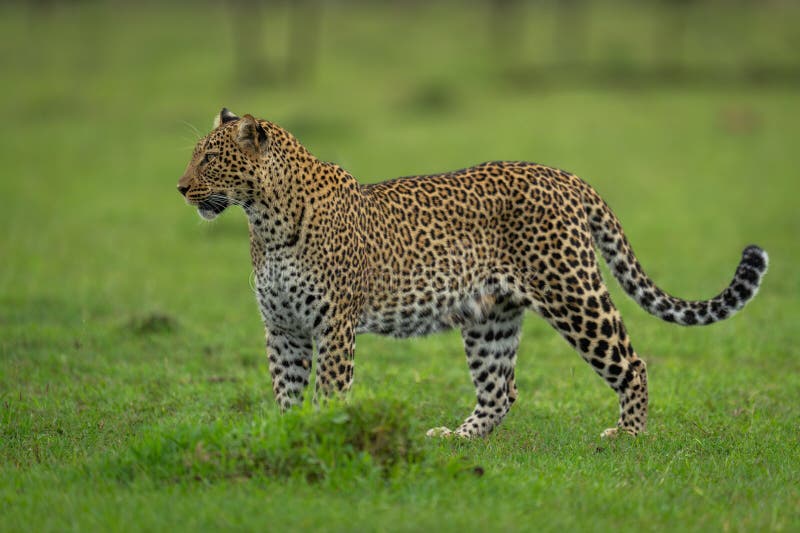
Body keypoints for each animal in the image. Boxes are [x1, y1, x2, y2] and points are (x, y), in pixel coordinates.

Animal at [177, 108, 769, 438]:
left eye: (208, 159)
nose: (180, 188)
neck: (264, 219)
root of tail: (566, 175)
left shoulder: (333, 325)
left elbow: (329, 391)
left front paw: (326, 435)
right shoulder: (282, 328)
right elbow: (286, 393)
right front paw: (289, 436)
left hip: (572, 291)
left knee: (633, 363)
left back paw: (629, 435)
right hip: (491, 318)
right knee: (500, 390)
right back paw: (457, 438)